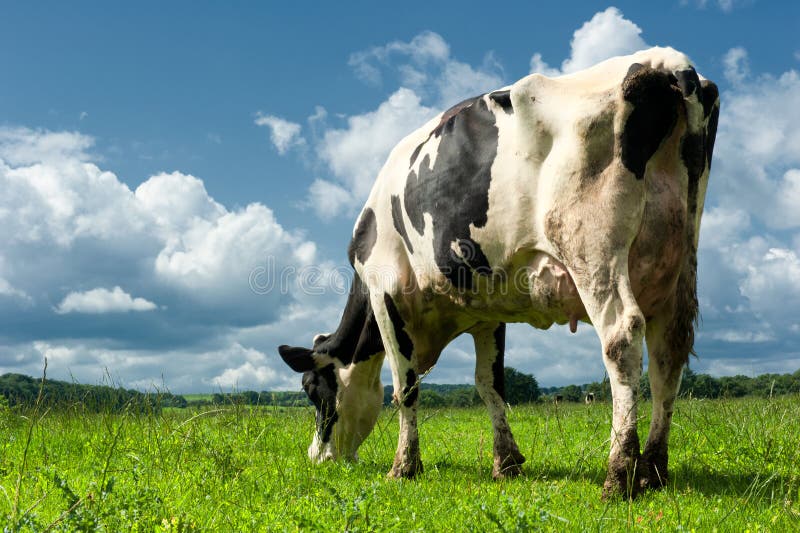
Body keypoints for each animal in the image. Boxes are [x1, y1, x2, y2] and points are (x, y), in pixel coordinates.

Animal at [279, 46, 719, 498]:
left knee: (622, 337)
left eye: (313, 390)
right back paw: (654, 469)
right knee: (668, 353)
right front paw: (505, 462)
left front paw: (404, 466)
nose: (317, 457)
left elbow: (406, 386)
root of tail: (666, 63)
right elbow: (489, 383)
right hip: (678, 259)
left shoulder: (385, 289)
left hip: (591, 246)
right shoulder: (486, 310)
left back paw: (620, 474)